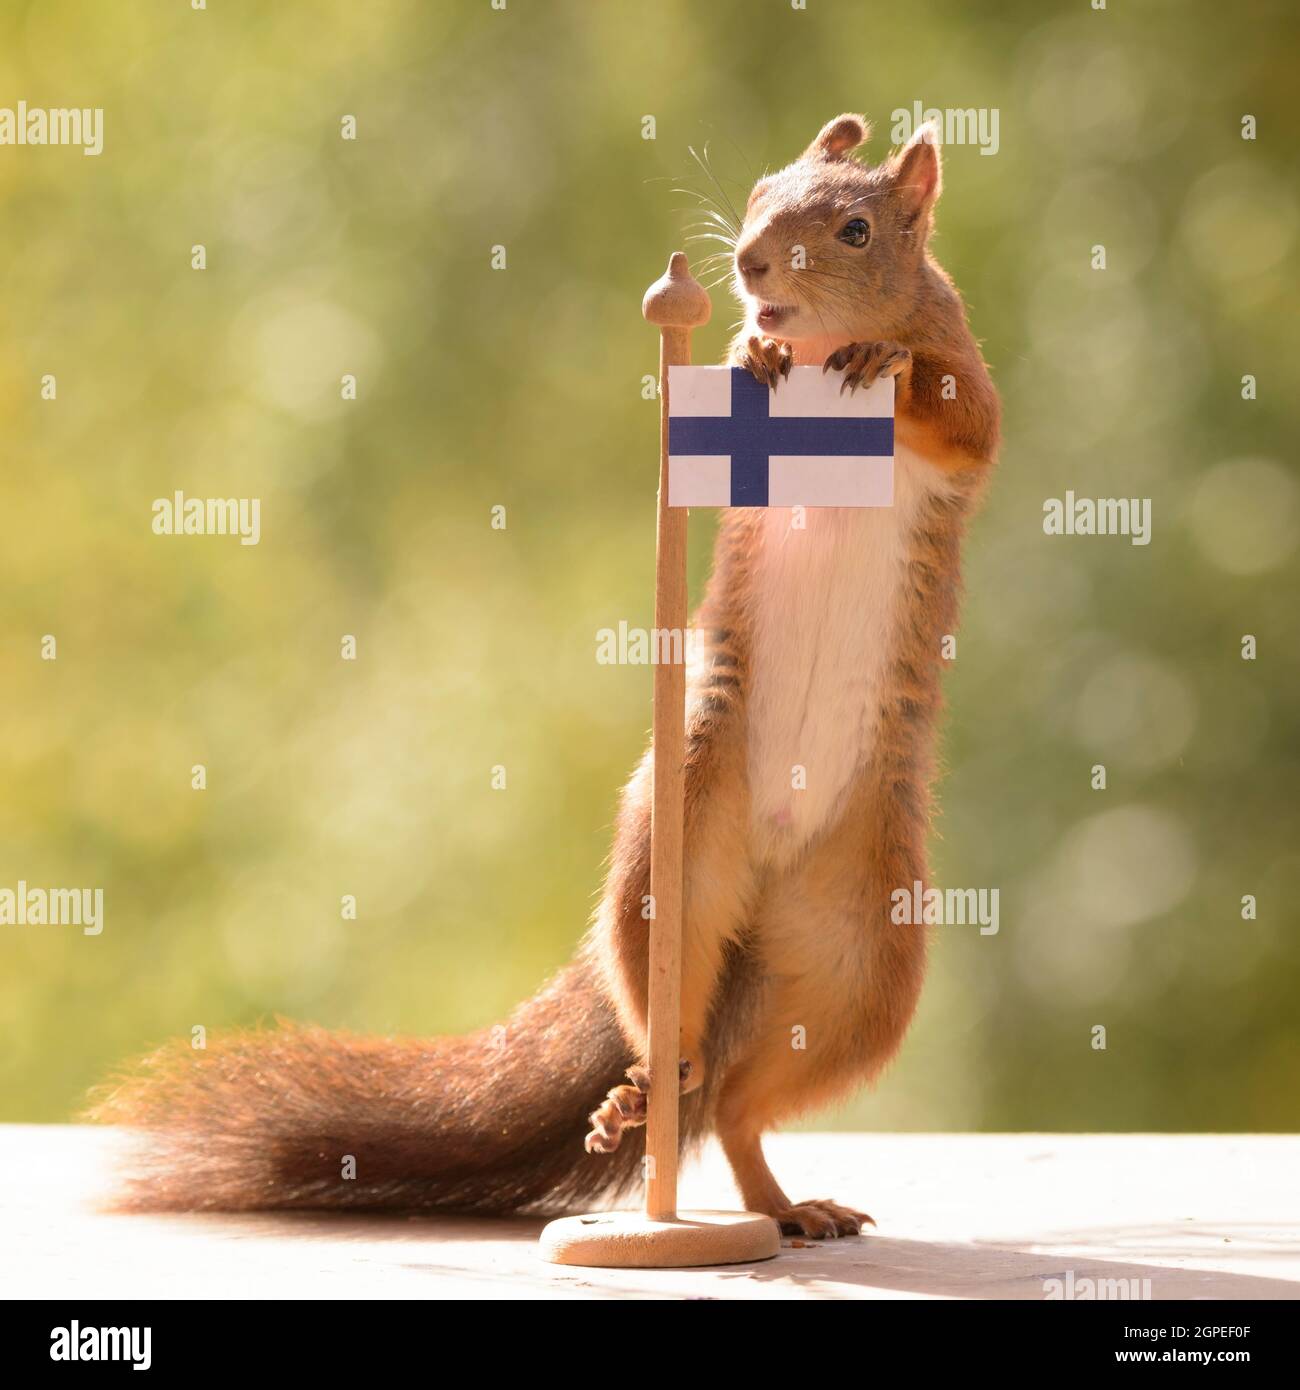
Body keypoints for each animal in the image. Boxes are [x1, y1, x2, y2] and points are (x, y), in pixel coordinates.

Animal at [91, 114, 999, 1239]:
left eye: (858, 230)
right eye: (758, 191)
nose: (748, 266)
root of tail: (769, 866)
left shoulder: (966, 384)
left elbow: (963, 412)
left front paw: (885, 357)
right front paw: (756, 348)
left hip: (860, 956)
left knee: (742, 1102)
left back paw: (782, 1203)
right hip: (675, 837)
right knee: (688, 1049)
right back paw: (650, 1092)